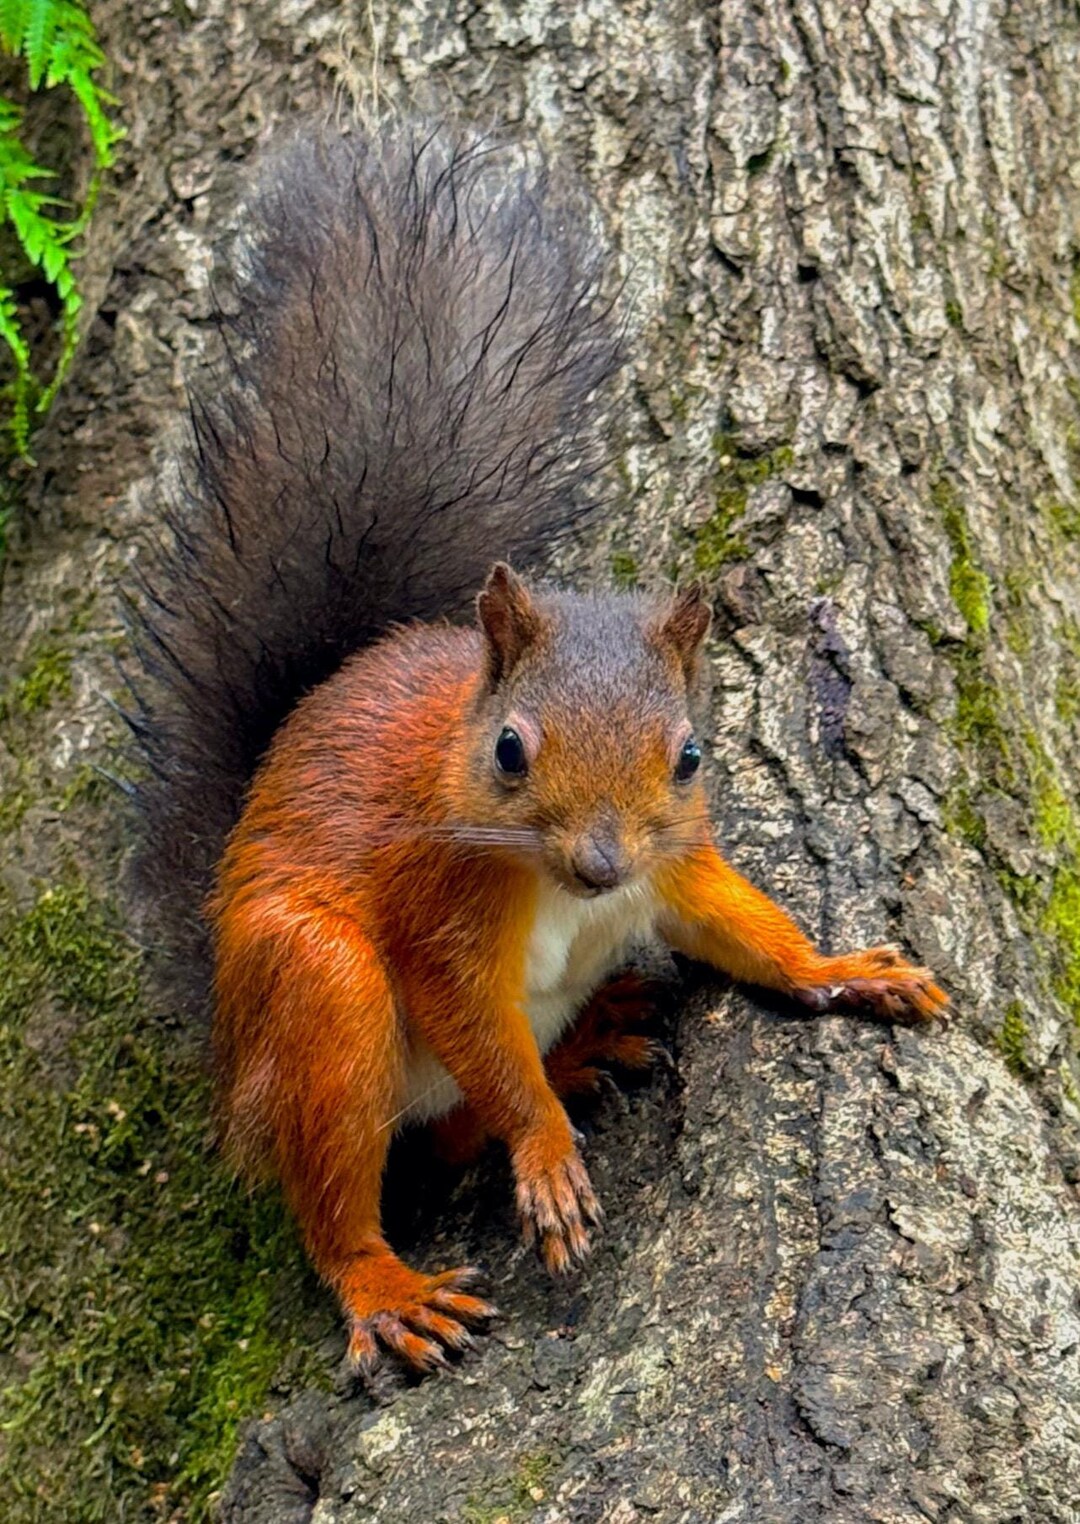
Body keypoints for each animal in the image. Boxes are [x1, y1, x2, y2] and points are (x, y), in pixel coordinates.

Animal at [128, 116, 948, 1378]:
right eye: (510, 752)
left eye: (690, 757)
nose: (603, 865)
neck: (564, 885)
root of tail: (228, 1044)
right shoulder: (438, 904)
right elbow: (469, 1018)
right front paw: (550, 1154)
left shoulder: (674, 865)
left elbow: (740, 925)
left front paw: (841, 969)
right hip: (311, 995)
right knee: (345, 1178)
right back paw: (388, 1284)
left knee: (454, 1129)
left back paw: (584, 1049)